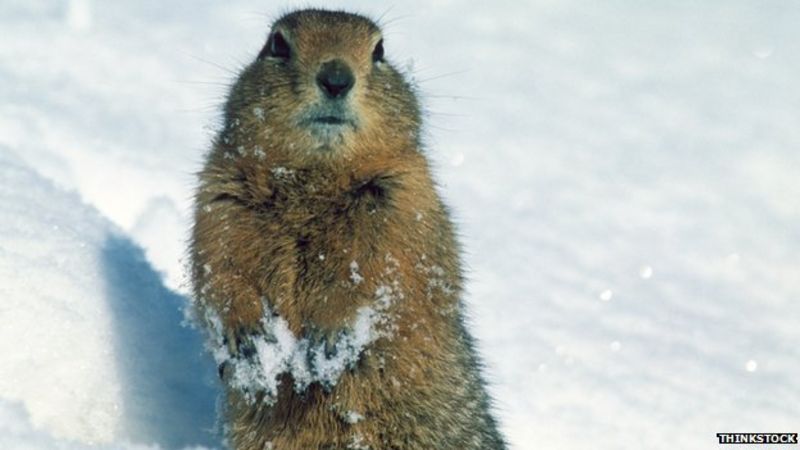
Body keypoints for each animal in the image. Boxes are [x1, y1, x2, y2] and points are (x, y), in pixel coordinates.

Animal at [190, 9, 506, 450]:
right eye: (277, 44)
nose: (336, 78)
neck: (315, 178)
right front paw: (250, 334)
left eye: (380, 50)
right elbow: (217, 262)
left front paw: (330, 336)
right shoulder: (220, 197)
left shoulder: (403, 201)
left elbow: (387, 270)